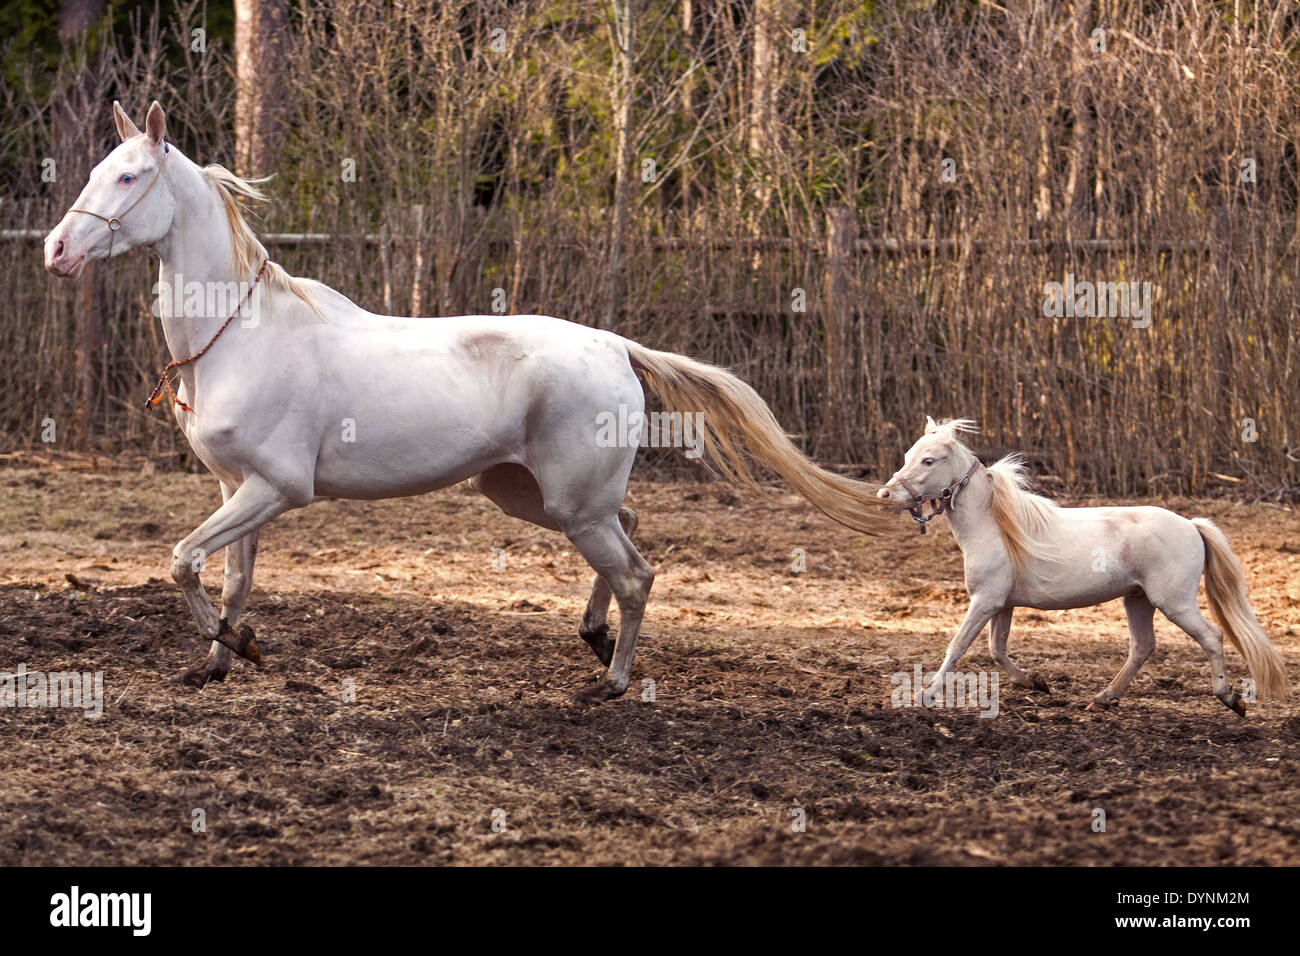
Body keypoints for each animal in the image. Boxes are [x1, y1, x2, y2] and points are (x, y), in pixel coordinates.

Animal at [43, 100, 893, 705]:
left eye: (128, 177)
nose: (56, 250)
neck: (244, 335)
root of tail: (617, 346)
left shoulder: (276, 488)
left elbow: (182, 561)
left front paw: (243, 649)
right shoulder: (236, 488)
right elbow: (228, 581)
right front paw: (218, 664)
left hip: (568, 504)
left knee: (637, 574)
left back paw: (610, 682)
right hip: (535, 495)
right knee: (632, 530)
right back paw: (593, 638)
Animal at [877, 417, 1289, 715]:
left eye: (928, 460)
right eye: (909, 455)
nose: (885, 495)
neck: (993, 526)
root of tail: (1191, 526)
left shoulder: (985, 601)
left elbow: (958, 646)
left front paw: (926, 694)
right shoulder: (1002, 604)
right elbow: (997, 648)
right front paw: (1036, 682)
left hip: (1175, 602)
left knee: (1211, 637)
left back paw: (1230, 698)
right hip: (1137, 599)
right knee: (1142, 647)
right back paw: (1103, 698)